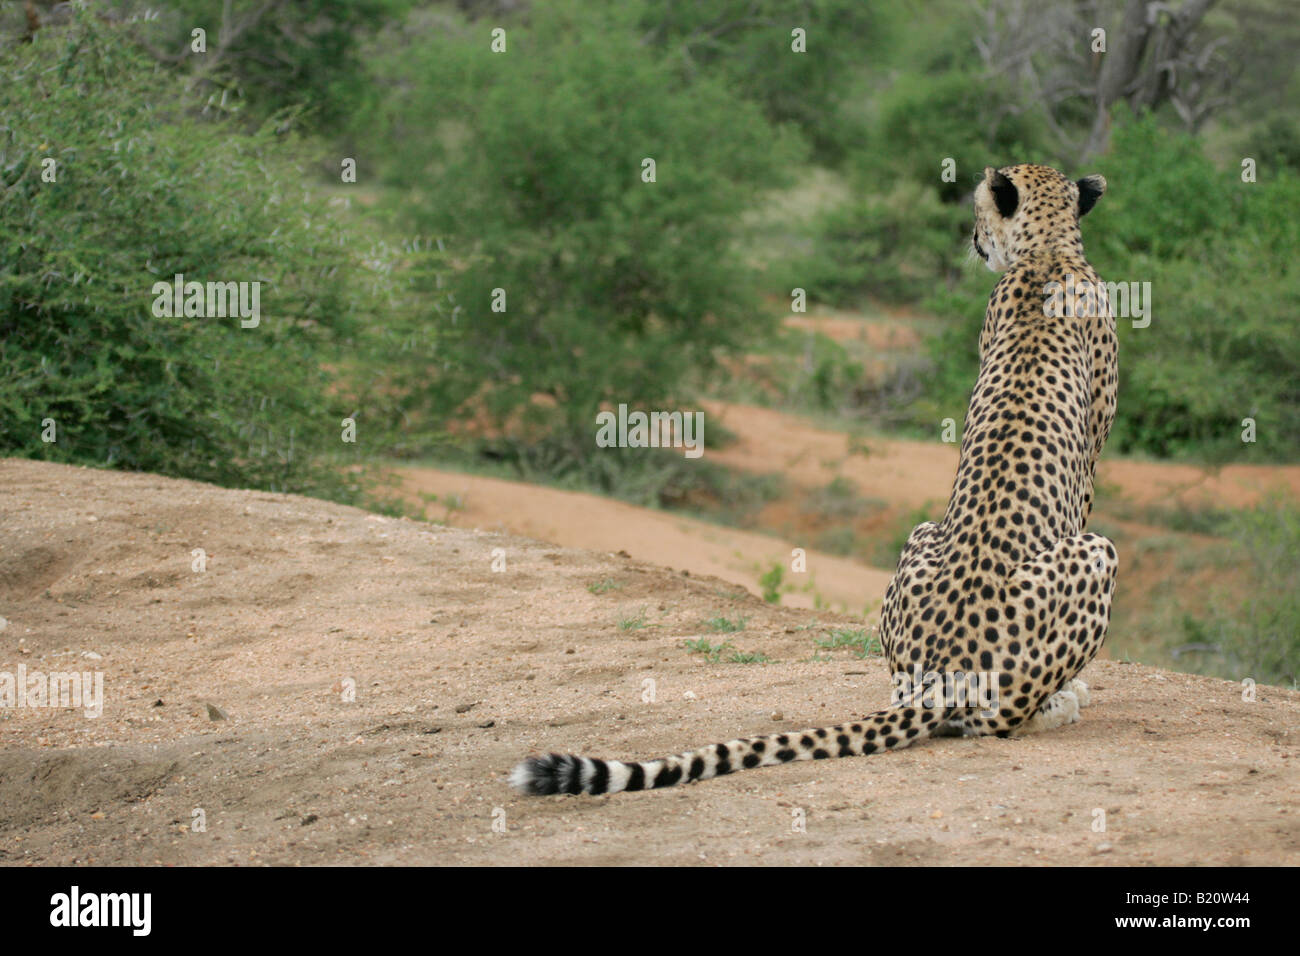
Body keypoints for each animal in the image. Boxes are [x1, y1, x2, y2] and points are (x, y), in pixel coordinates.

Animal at [510, 163, 1118, 796]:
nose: (974, 240)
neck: (1049, 252)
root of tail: (939, 673)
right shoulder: (1092, 451)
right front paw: (1072, 688)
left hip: (923, 535)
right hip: (1097, 552)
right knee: (994, 721)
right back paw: (1059, 705)